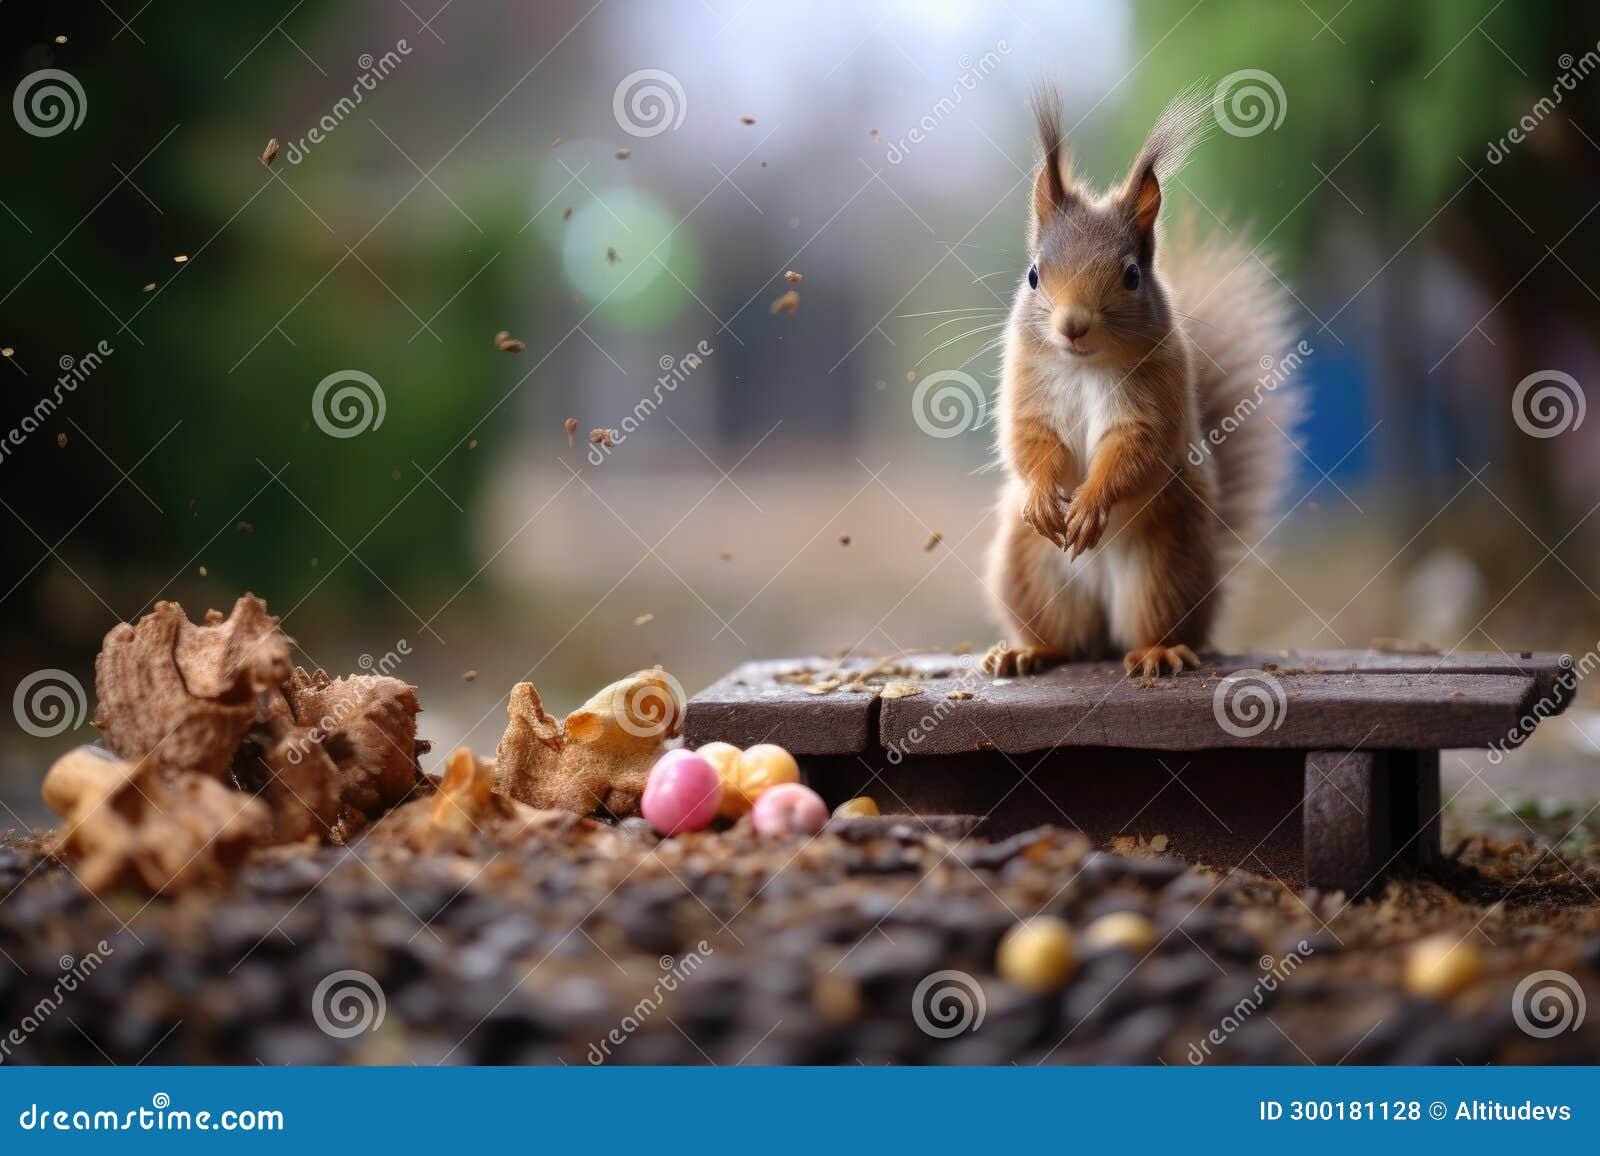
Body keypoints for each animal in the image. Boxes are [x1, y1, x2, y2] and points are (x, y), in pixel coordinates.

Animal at [982, 86, 1303, 679]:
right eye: (1034, 274)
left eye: (1131, 275)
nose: (1073, 324)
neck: (1084, 365)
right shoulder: (1027, 389)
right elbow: (1029, 441)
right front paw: (1042, 497)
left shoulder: (1155, 398)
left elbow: (1136, 451)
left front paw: (1089, 506)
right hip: (1029, 570)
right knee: (1066, 640)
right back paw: (1028, 651)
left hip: (1165, 566)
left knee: (1153, 625)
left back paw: (1159, 651)